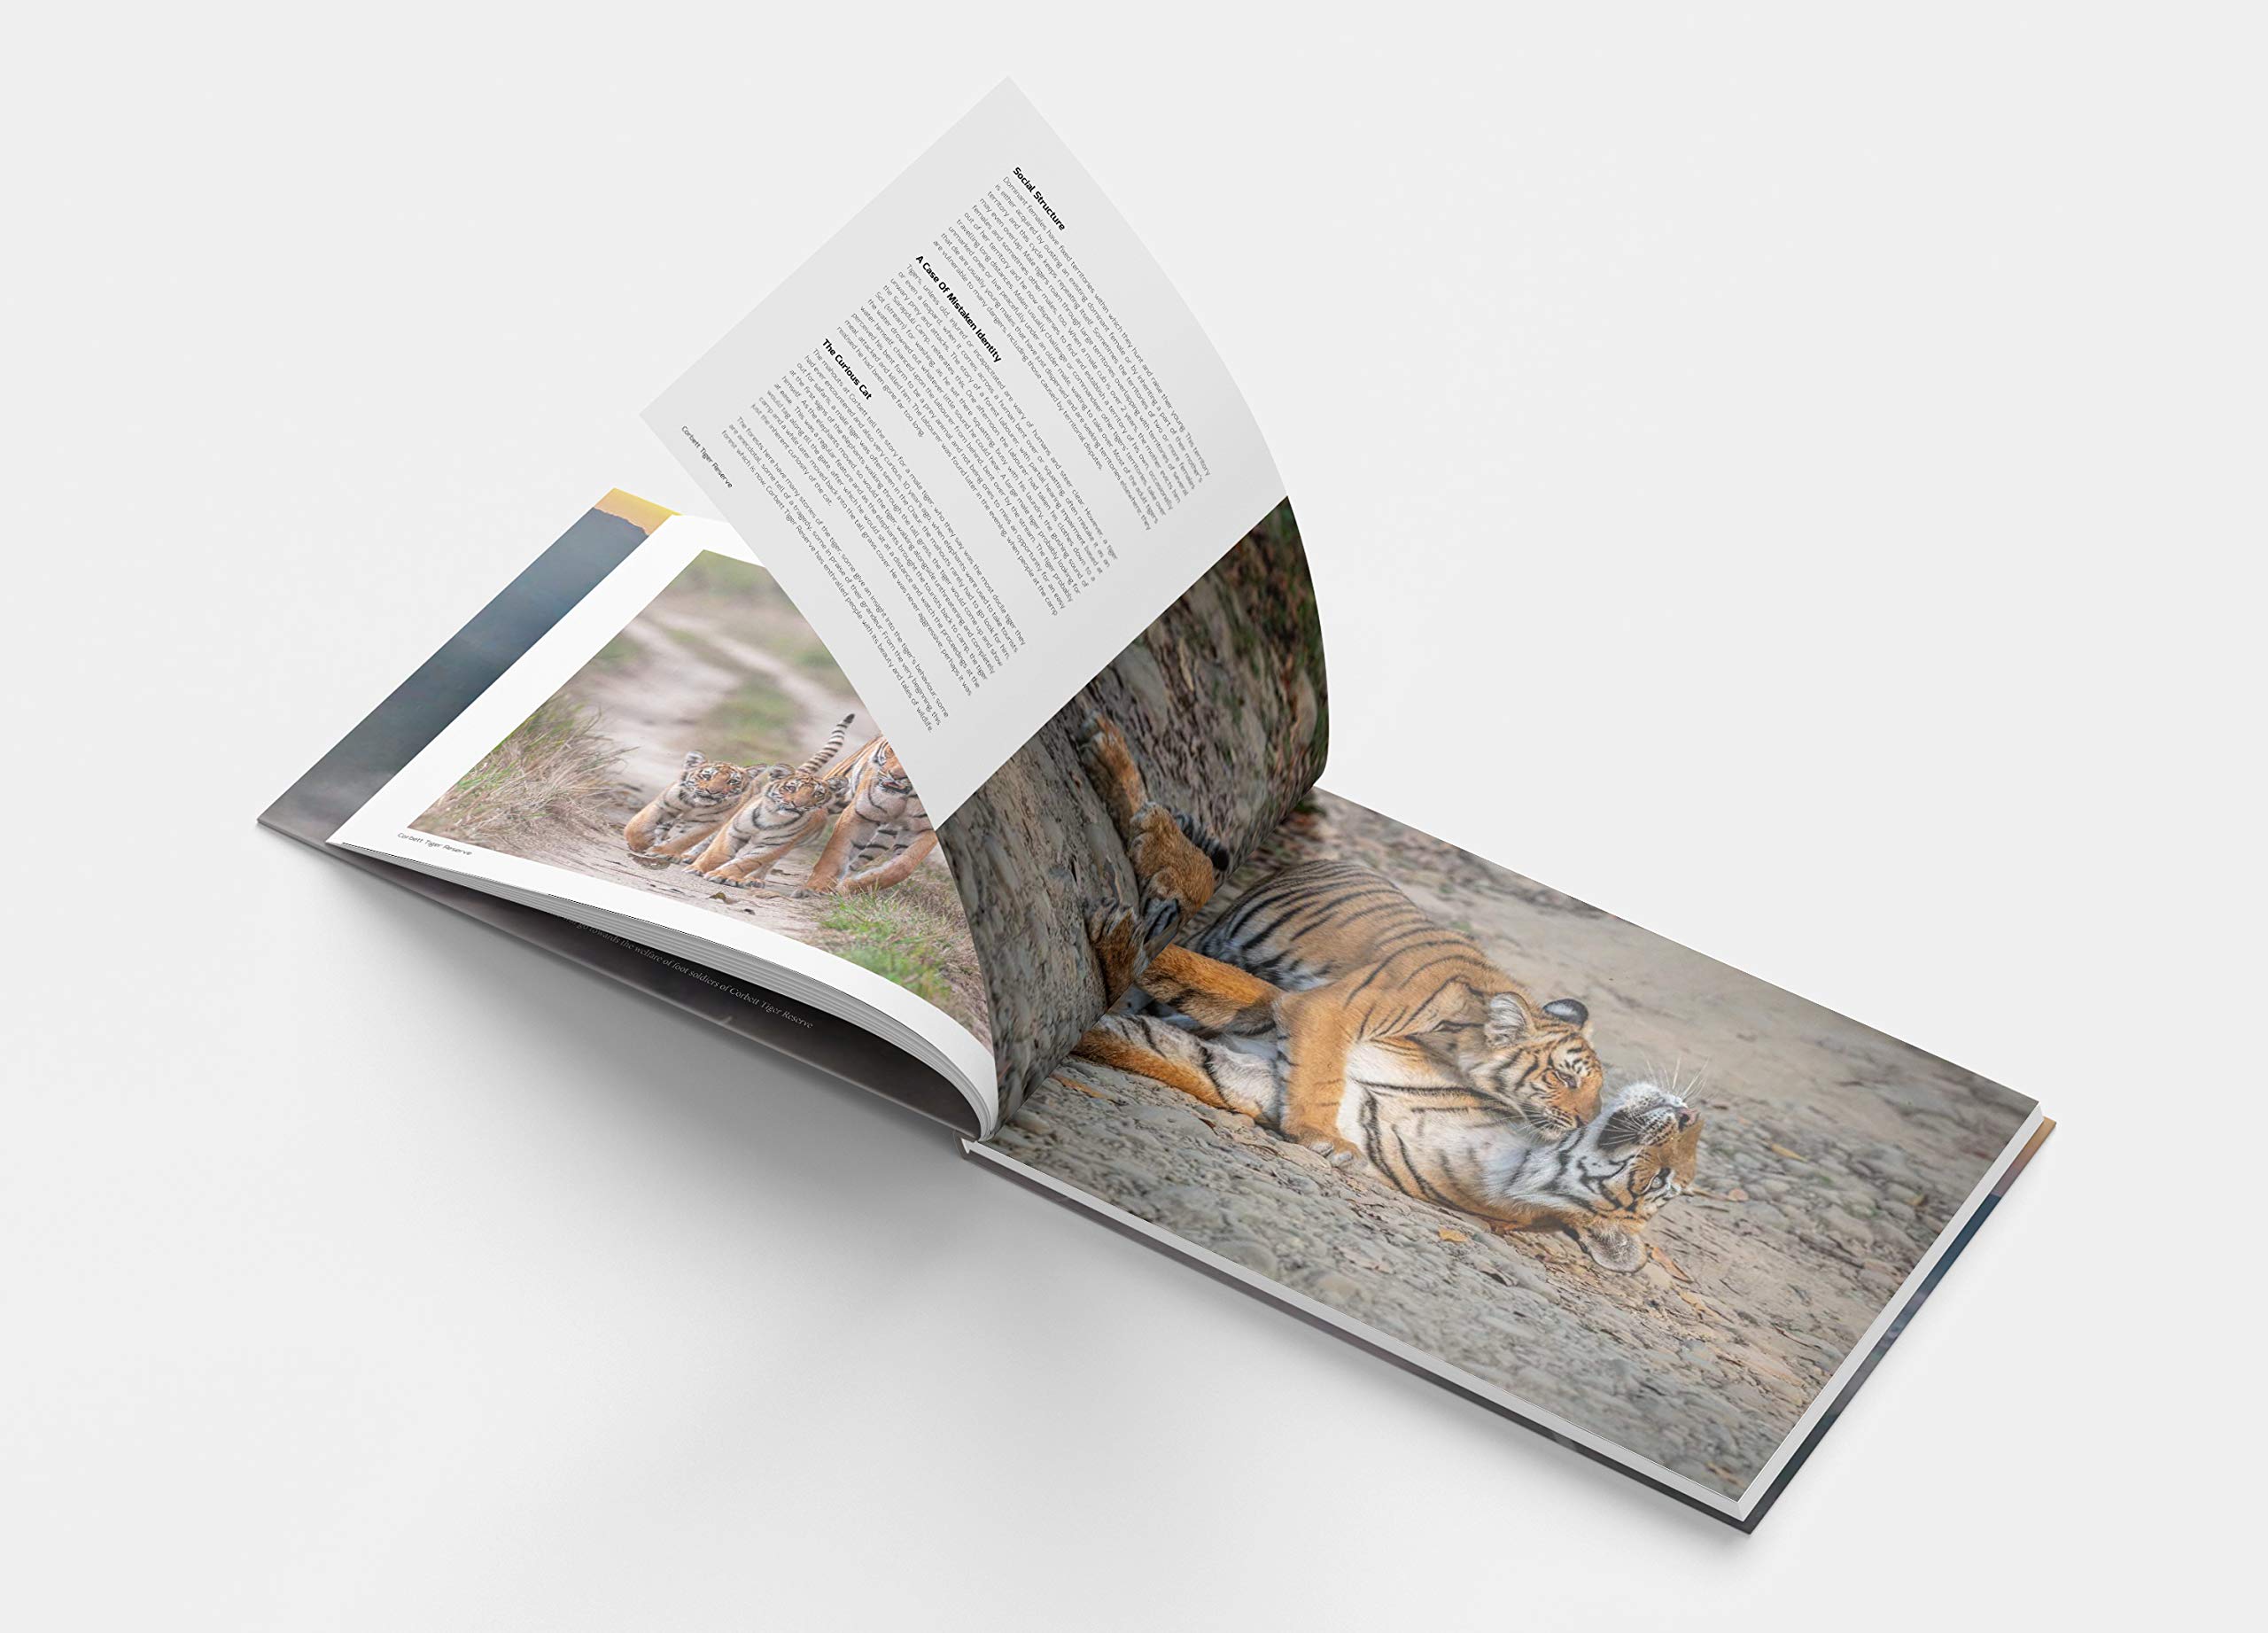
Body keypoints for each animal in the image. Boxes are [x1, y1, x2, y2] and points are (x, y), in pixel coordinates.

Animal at [623, 752, 759, 859]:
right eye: (707, 776)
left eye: (732, 781)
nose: (713, 791)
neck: (695, 803)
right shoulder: (664, 805)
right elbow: (638, 825)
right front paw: (640, 844)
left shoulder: (708, 823)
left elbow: (685, 840)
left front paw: (660, 852)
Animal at [690, 714, 856, 887]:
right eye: (791, 788)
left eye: (817, 794)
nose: (797, 804)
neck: (773, 817)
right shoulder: (733, 830)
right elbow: (719, 851)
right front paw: (698, 868)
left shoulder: (775, 846)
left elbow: (747, 862)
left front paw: (724, 875)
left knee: (767, 864)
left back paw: (753, 880)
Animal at [796, 735, 939, 895]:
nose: (895, 776)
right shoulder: (861, 813)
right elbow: (835, 853)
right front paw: (814, 887)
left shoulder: (925, 830)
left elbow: (903, 866)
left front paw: (851, 885)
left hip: (881, 840)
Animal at [1129, 859, 1606, 1164]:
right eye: (1563, 1078)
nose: (1584, 1123)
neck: (1457, 1033)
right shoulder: (1328, 1008)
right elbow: (1322, 1075)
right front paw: (1323, 1137)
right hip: (1219, 939)